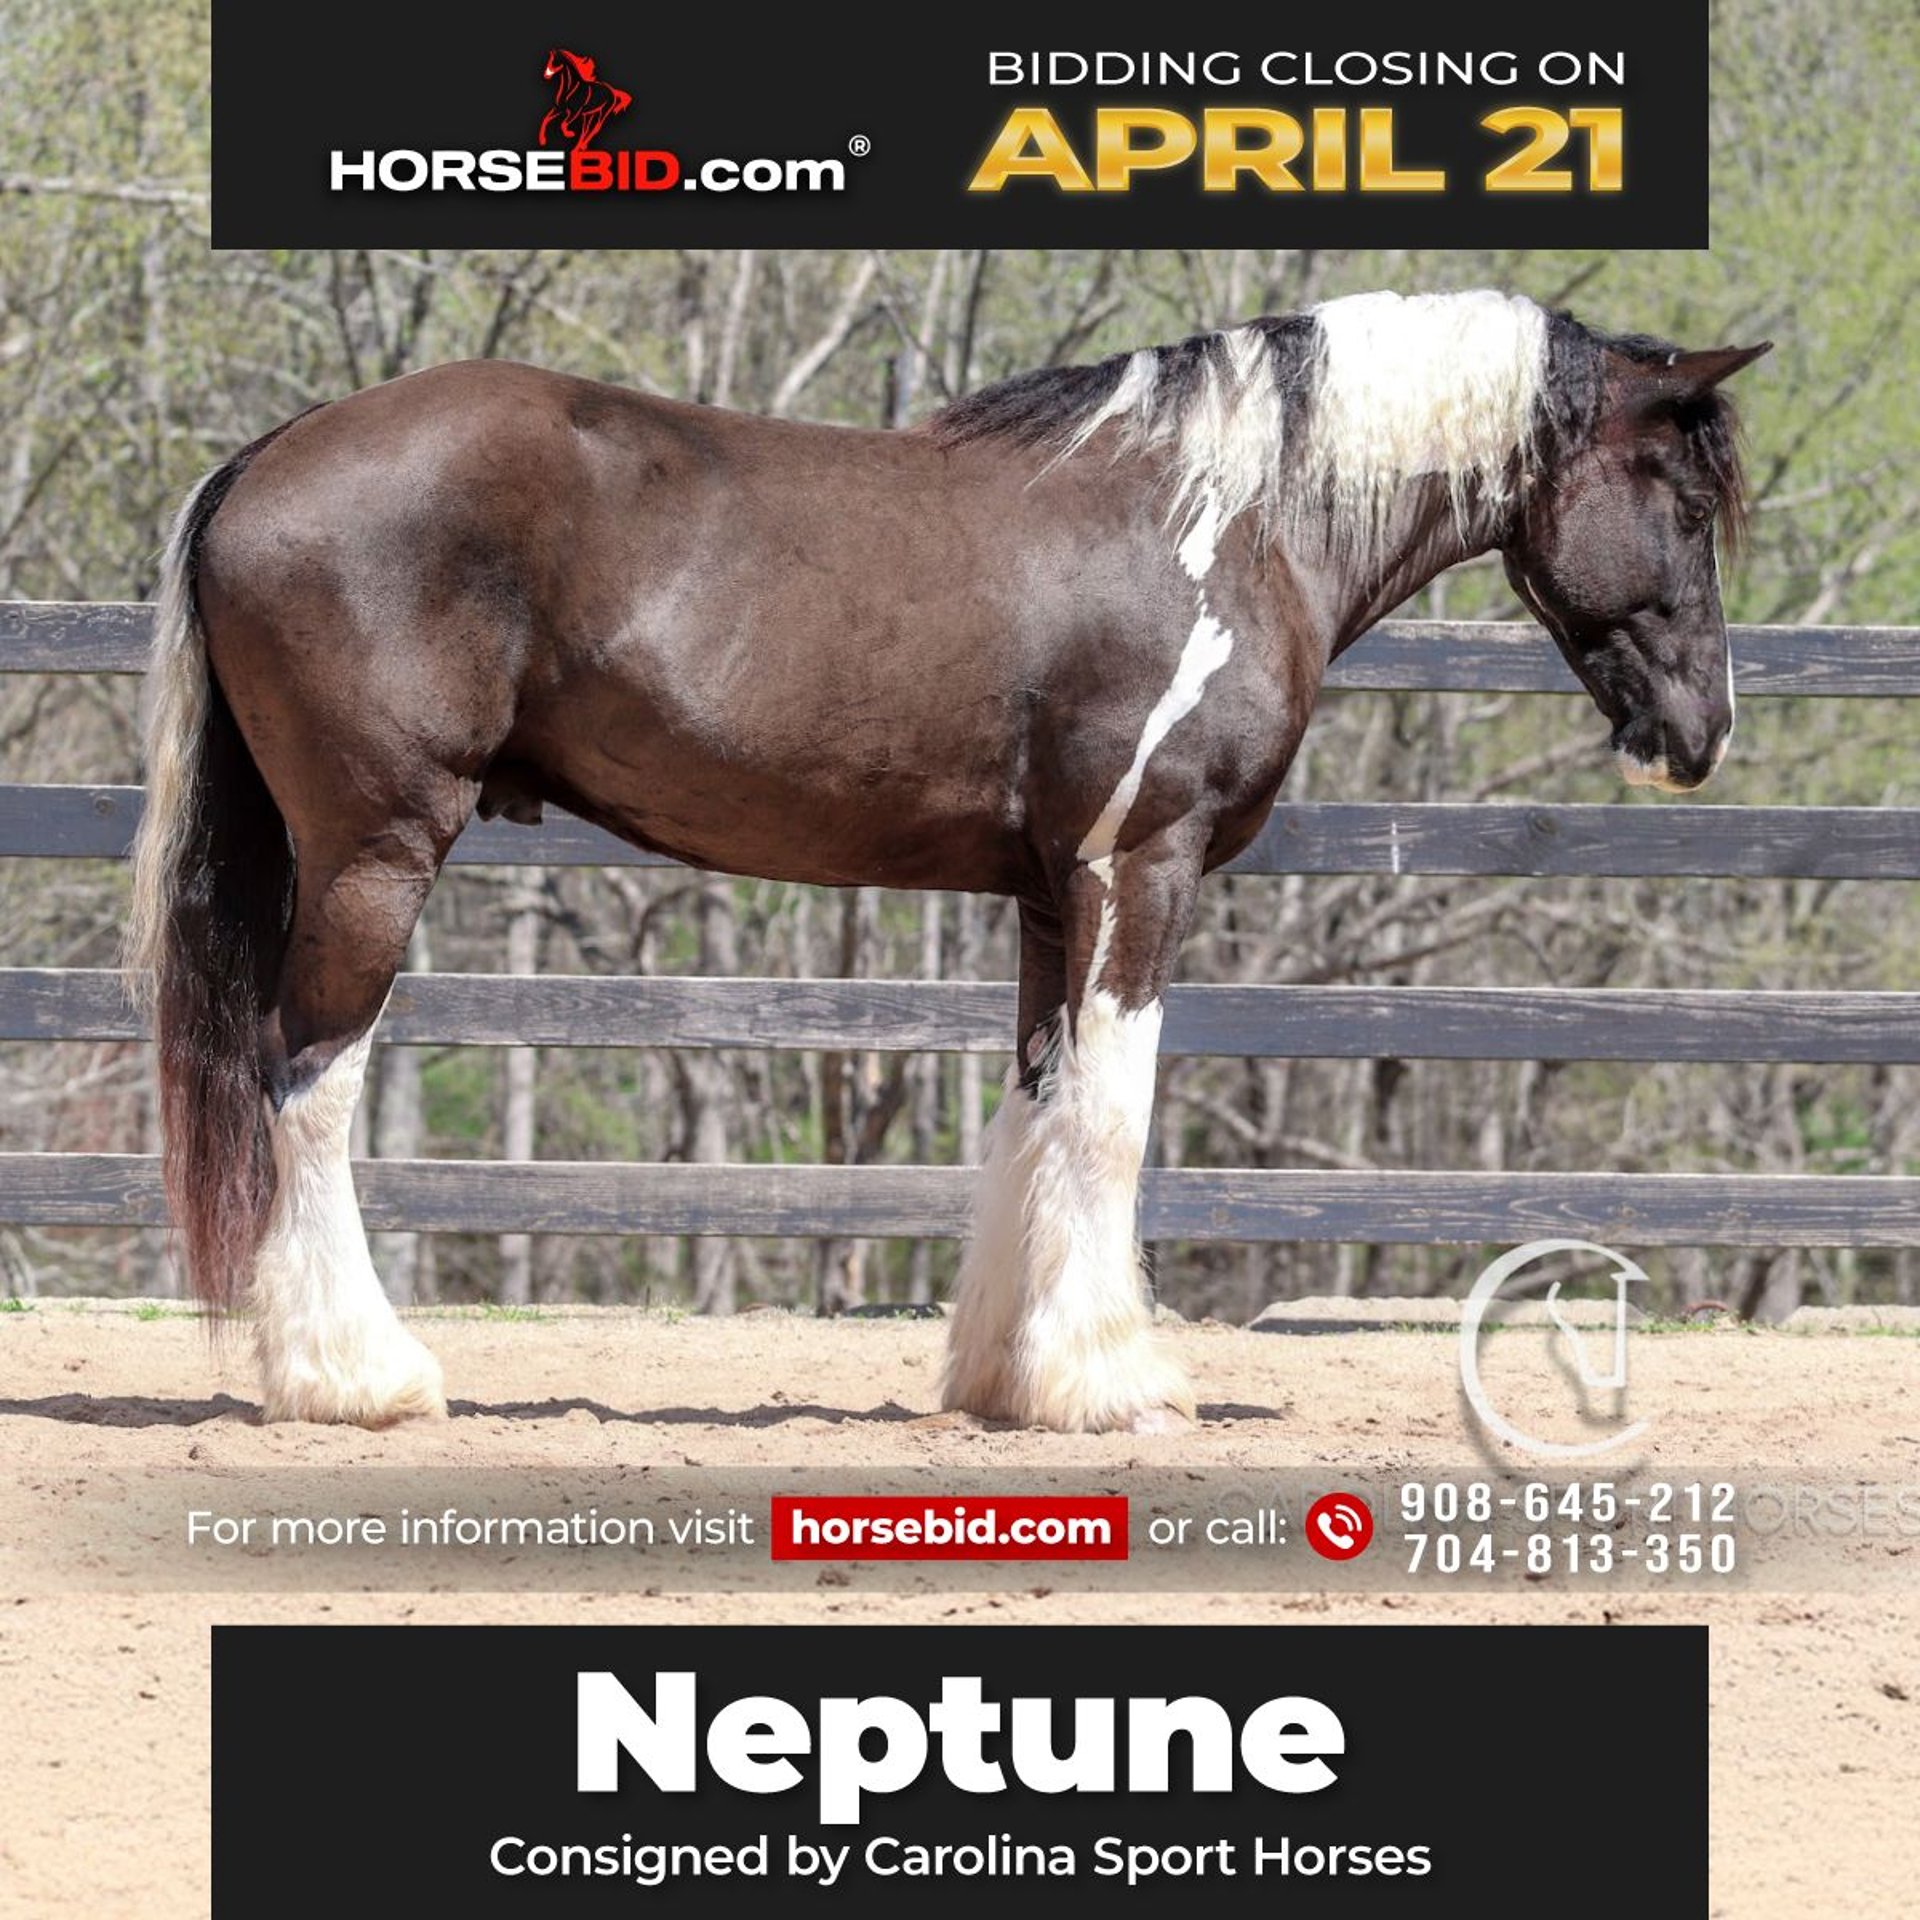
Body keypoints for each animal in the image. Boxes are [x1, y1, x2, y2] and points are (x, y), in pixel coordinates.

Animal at [124, 288, 1768, 1431]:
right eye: (1685, 502)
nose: (1701, 733)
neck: (1223, 523)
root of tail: (269, 457)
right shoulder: (1138, 872)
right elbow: (1111, 1122)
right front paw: (1114, 1386)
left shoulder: (1051, 896)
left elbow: (1038, 1113)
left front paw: (1009, 1379)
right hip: (375, 852)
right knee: (307, 1084)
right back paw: (359, 1377)